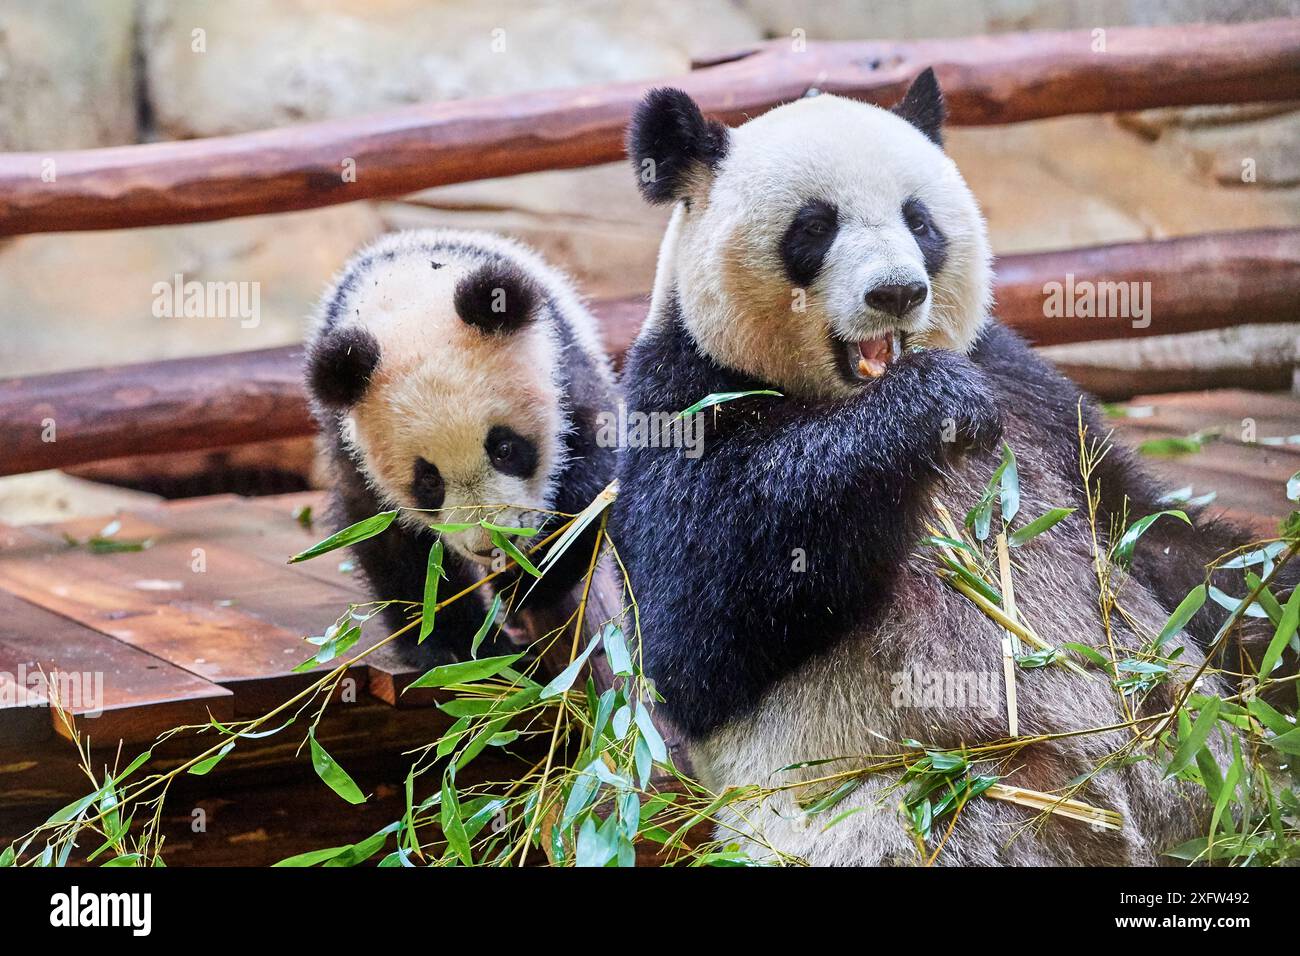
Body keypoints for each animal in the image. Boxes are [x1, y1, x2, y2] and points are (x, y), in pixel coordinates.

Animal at [304, 229, 618, 666]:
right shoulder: (350, 442)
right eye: (429, 481)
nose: (490, 545)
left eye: (504, 449)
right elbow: (388, 538)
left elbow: (588, 485)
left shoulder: (560, 367)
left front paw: (527, 586)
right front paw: (452, 643)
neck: (413, 295)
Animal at [612, 73, 1285, 866]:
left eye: (920, 221)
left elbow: (1150, 538)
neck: (843, 394)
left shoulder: (1030, 394)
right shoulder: (683, 393)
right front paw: (930, 406)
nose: (896, 293)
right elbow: (695, 627)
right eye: (814, 226)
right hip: (917, 809)